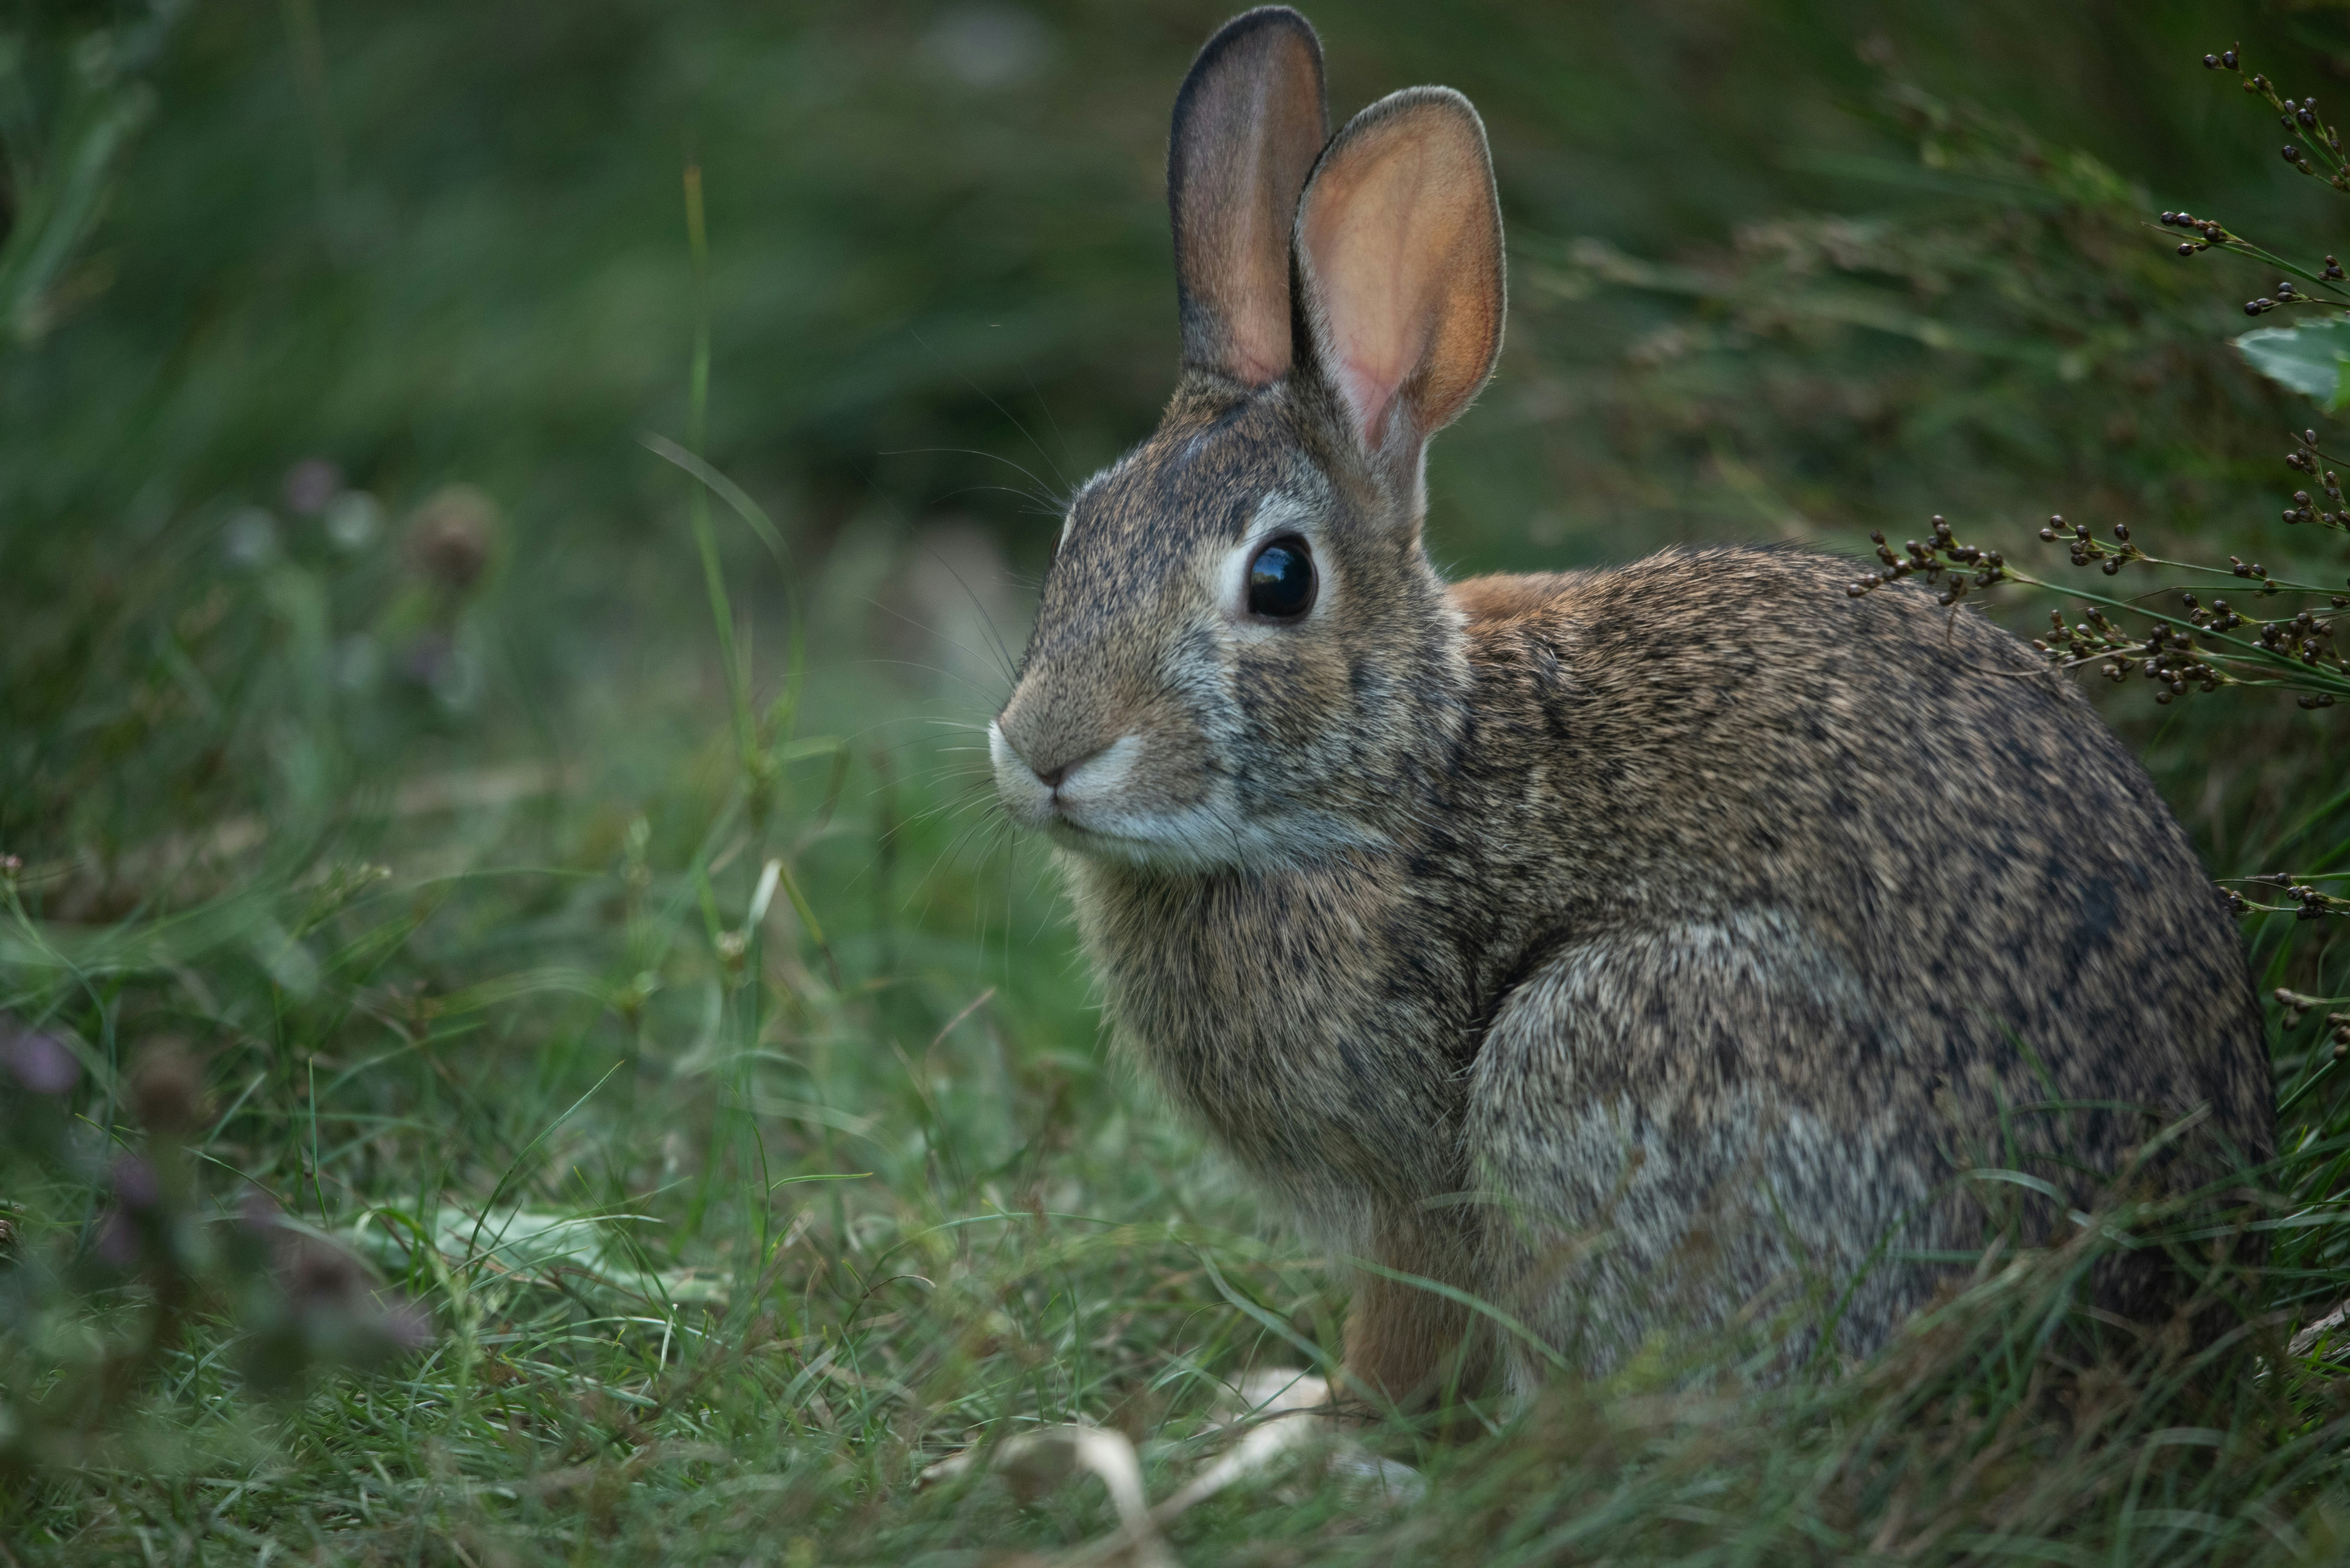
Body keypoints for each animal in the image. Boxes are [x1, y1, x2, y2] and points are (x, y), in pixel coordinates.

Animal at [988, 5, 2274, 1400]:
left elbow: (1408, 1329)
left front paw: (1323, 1425)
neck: (1397, 781)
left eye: (1279, 580)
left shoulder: (1418, 1183)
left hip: (1603, 1053)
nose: (1044, 752)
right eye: (1079, 528)